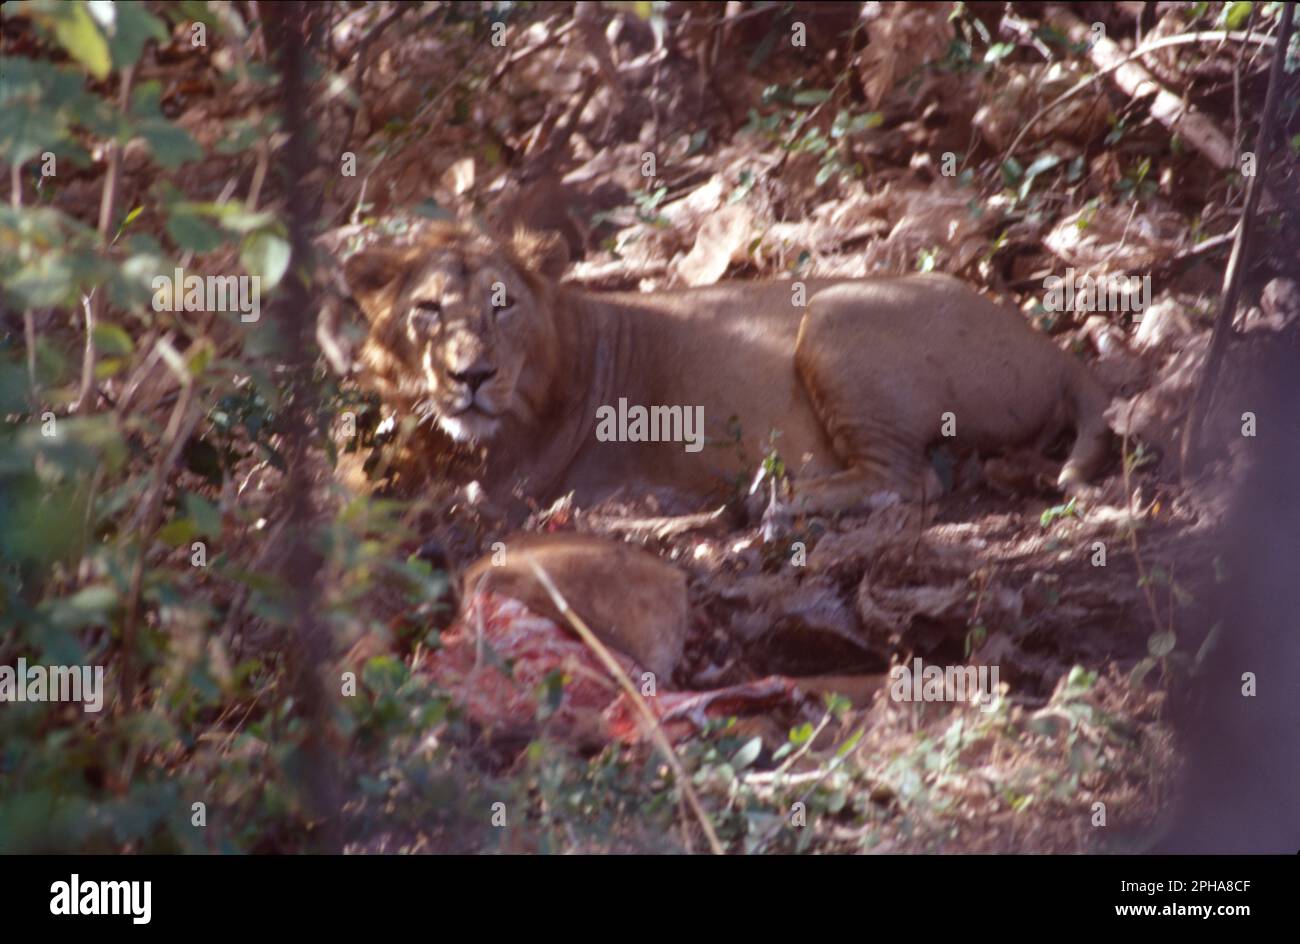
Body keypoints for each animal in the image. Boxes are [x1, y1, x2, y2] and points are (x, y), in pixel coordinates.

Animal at [343, 224, 1110, 517]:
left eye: (502, 306)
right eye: (428, 310)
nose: (470, 377)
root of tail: (1051, 349)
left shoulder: (519, 484)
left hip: (835, 311)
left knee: (906, 480)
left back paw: (776, 499)